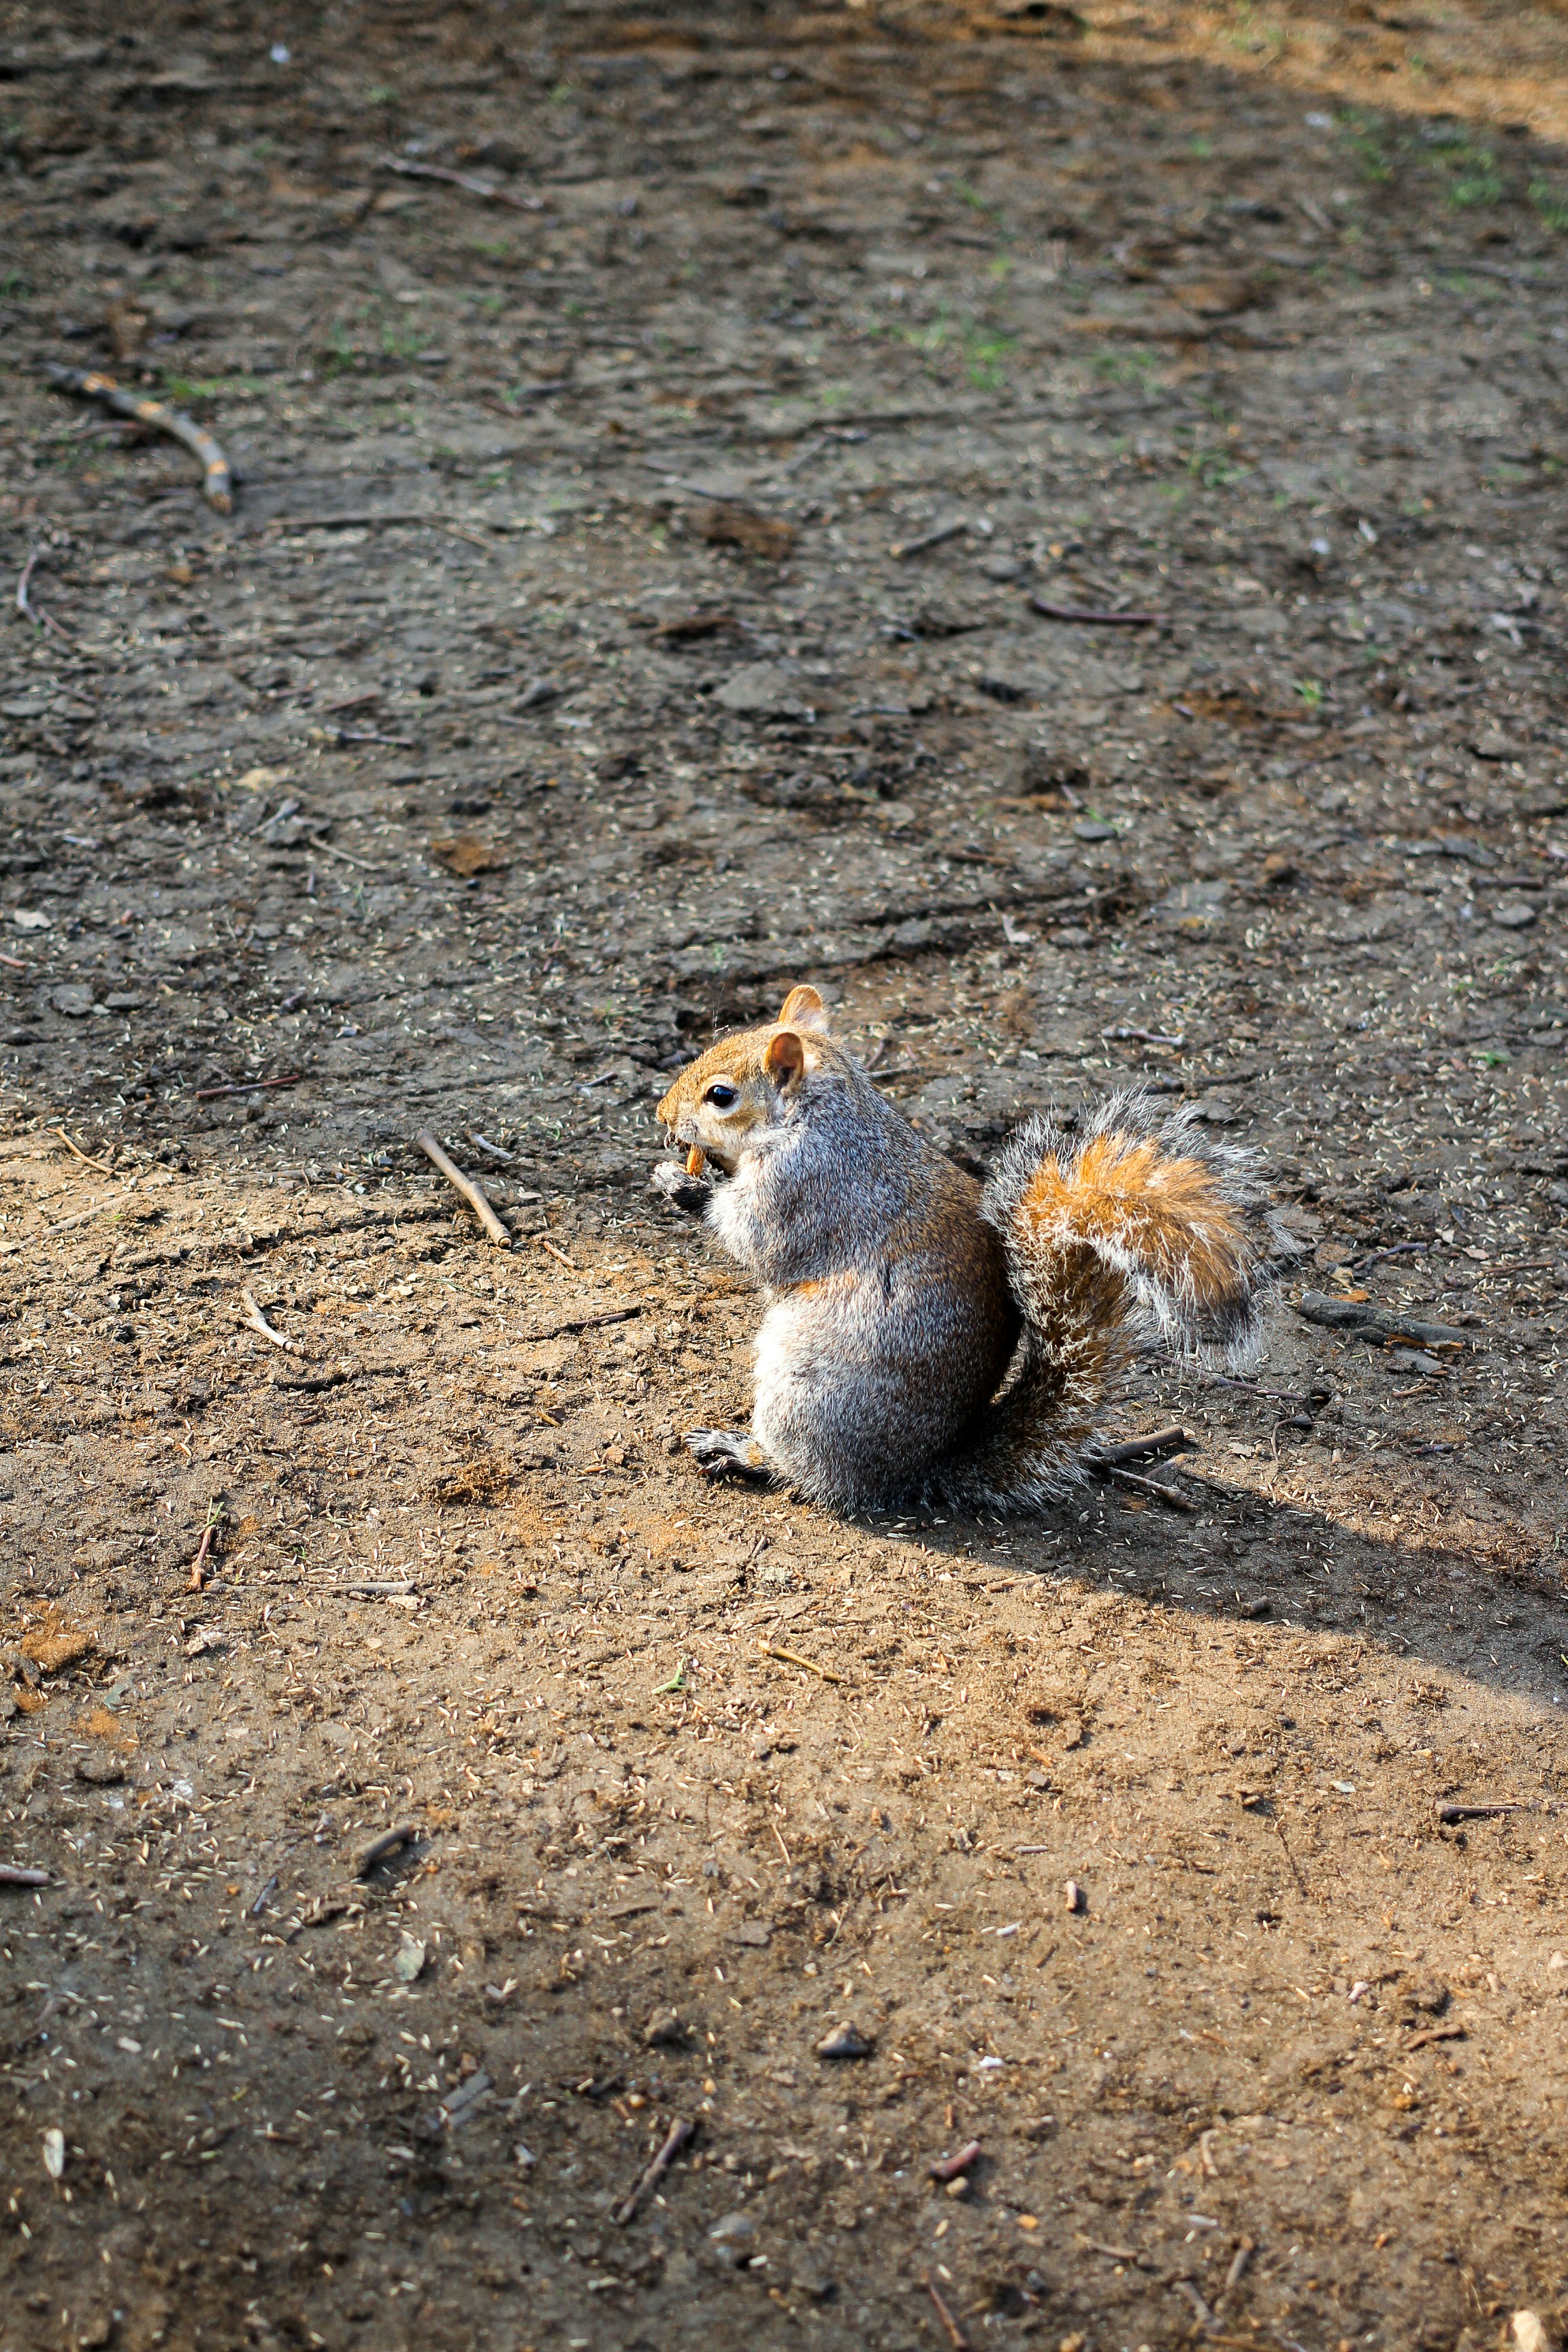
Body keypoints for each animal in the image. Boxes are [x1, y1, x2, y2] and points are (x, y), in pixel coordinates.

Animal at [652, 984, 1268, 1516]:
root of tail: (918, 1470)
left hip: (803, 1396)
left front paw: (686, 1186)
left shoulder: (804, 1185)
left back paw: (742, 1451)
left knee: (809, 1473)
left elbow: (754, 1239)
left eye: (721, 1096)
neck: (818, 1115)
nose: (662, 1115)